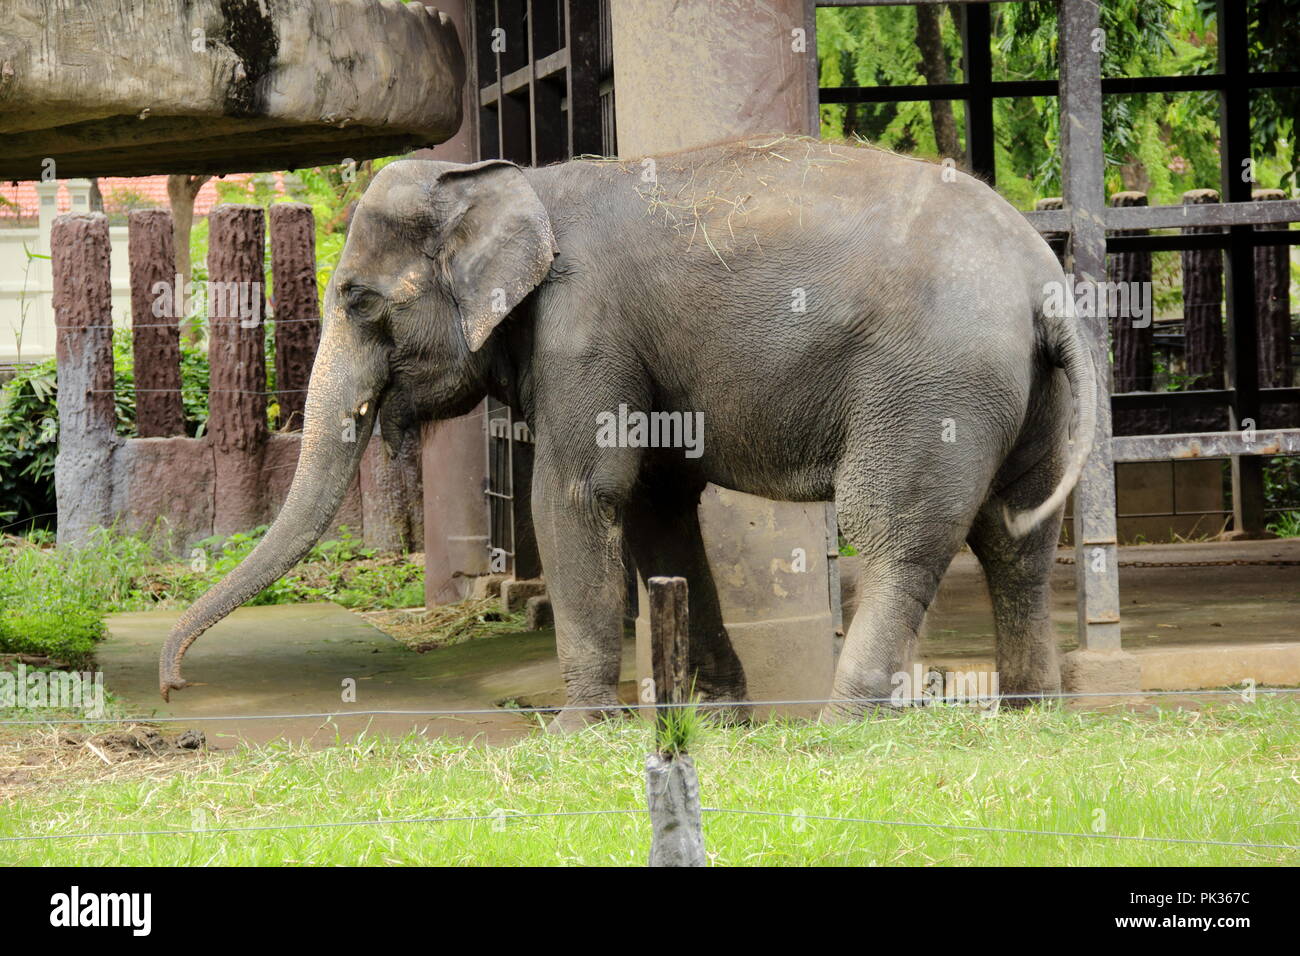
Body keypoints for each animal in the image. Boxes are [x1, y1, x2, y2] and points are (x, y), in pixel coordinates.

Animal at [159, 135, 1095, 730]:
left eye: (356, 299)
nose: (173, 686)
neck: (515, 180)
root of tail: (1043, 282)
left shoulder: (583, 325)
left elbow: (577, 492)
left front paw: (577, 729)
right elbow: (655, 506)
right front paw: (719, 721)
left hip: (931, 385)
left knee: (897, 533)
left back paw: (842, 727)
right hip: (1024, 399)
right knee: (1017, 538)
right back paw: (1032, 717)